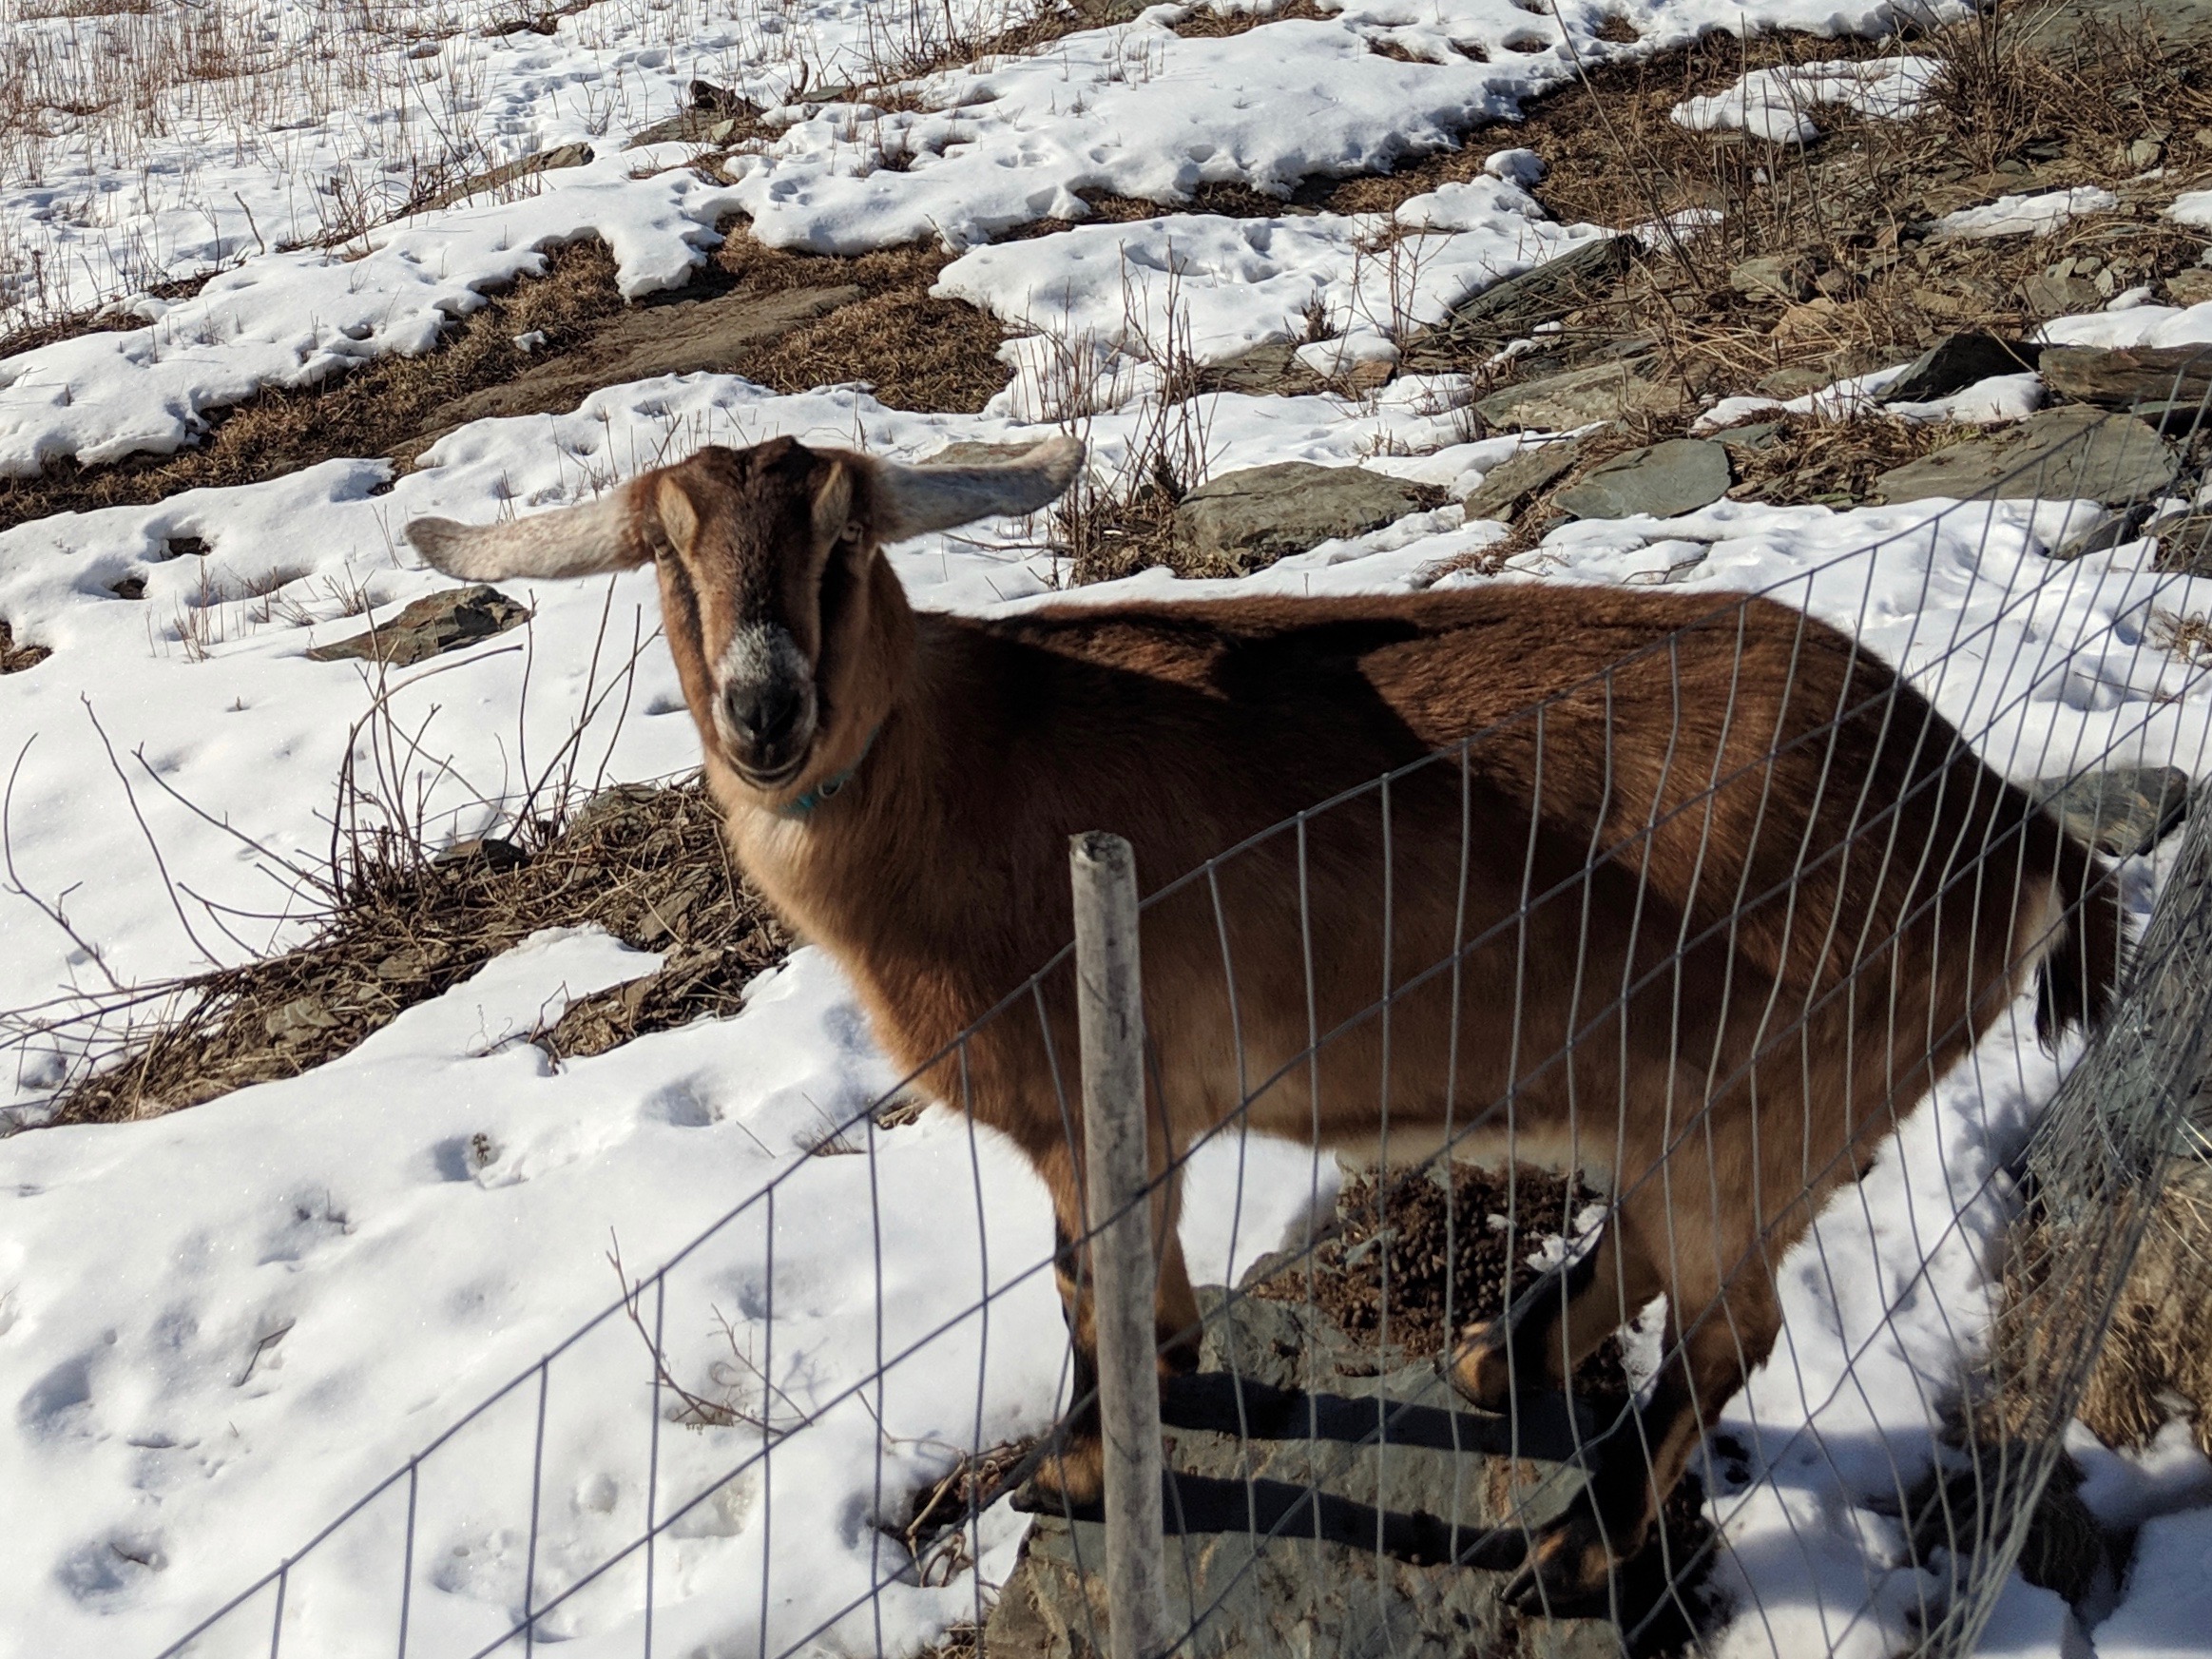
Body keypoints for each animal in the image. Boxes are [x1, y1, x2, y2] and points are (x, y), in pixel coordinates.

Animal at [406, 434, 2121, 1606]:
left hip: (1763, 1097)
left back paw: (1570, 1553)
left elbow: (1085, 1284)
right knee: (1663, 1263)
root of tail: (2005, 819)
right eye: (665, 555)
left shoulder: (1092, 1090)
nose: (766, 713)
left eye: (843, 542)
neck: (969, 767)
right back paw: (1501, 1360)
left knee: (1732, 1329)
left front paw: (1079, 1468)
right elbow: (1131, 1285)